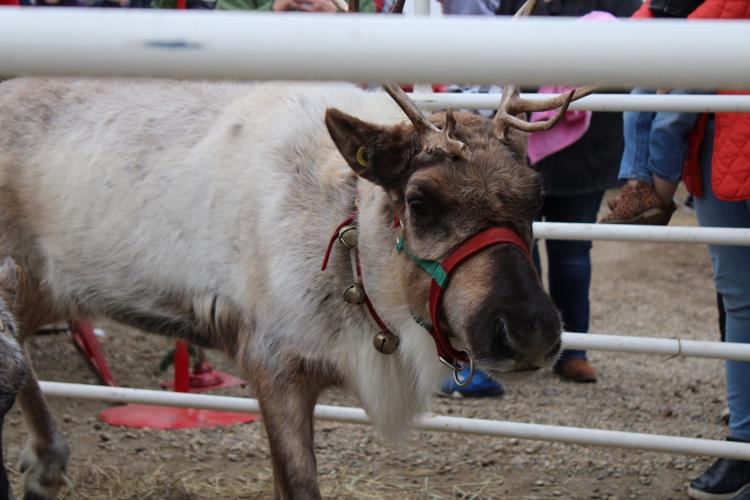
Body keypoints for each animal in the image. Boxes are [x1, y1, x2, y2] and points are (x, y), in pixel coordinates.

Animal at [0, 0, 597, 496]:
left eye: (537, 195)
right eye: (421, 201)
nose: (529, 332)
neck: (355, 250)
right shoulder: (273, 363)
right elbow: (298, 484)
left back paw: (48, 463)